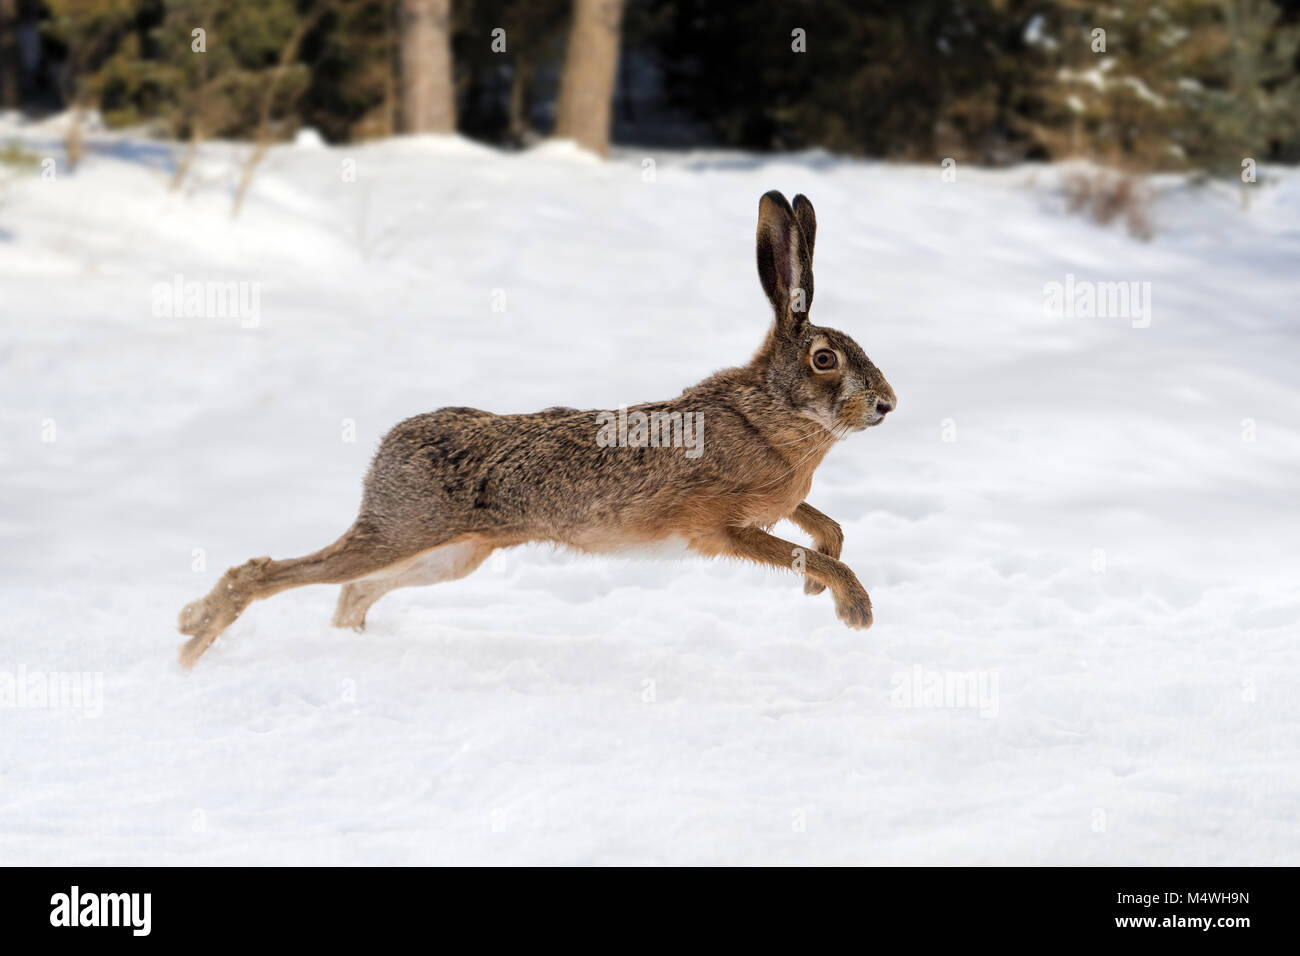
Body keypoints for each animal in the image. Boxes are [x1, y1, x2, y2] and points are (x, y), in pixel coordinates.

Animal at [177, 191, 896, 669]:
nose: (887, 404)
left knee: (354, 592)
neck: (770, 411)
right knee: (269, 573)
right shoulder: (720, 527)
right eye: (825, 359)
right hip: (403, 530)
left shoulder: (779, 503)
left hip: (455, 552)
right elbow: (811, 549)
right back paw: (193, 640)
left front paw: (816, 587)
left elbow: (827, 526)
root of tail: (388, 447)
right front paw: (852, 608)